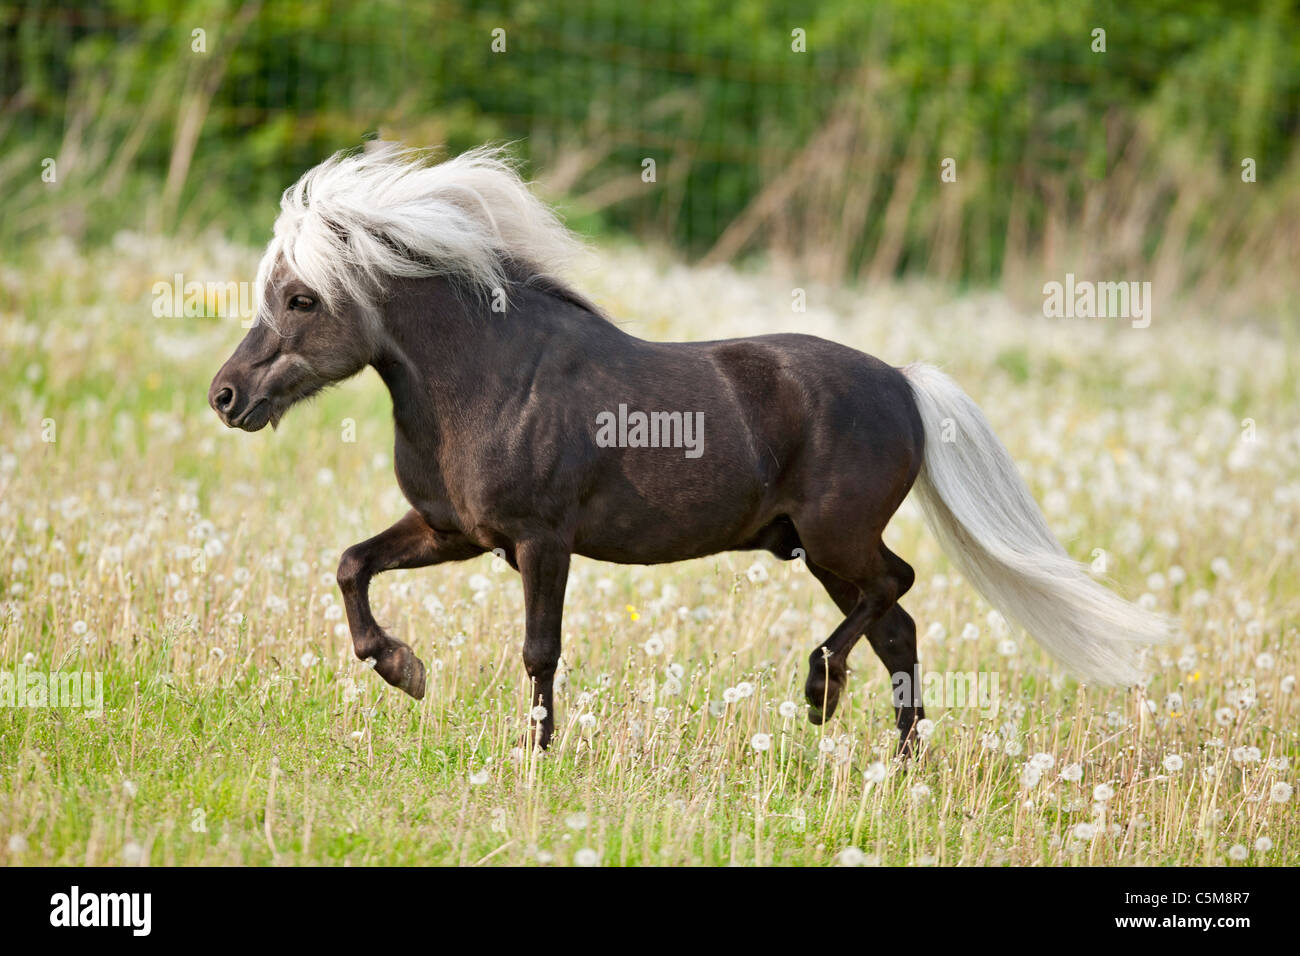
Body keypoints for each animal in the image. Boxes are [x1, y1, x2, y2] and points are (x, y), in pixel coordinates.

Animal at [208, 144, 1169, 753]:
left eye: (301, 298)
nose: (226, 396)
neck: (487, 378)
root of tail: (903, 383)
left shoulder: (543, 542)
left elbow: (539, 650)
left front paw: (536, 756)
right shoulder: (454, 533)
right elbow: (351, 564)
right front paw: (403, 670)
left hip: (836, 539)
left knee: (895, 593)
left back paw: (820, 691)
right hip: (821, 550)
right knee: (898, 627)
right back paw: (901, 764)